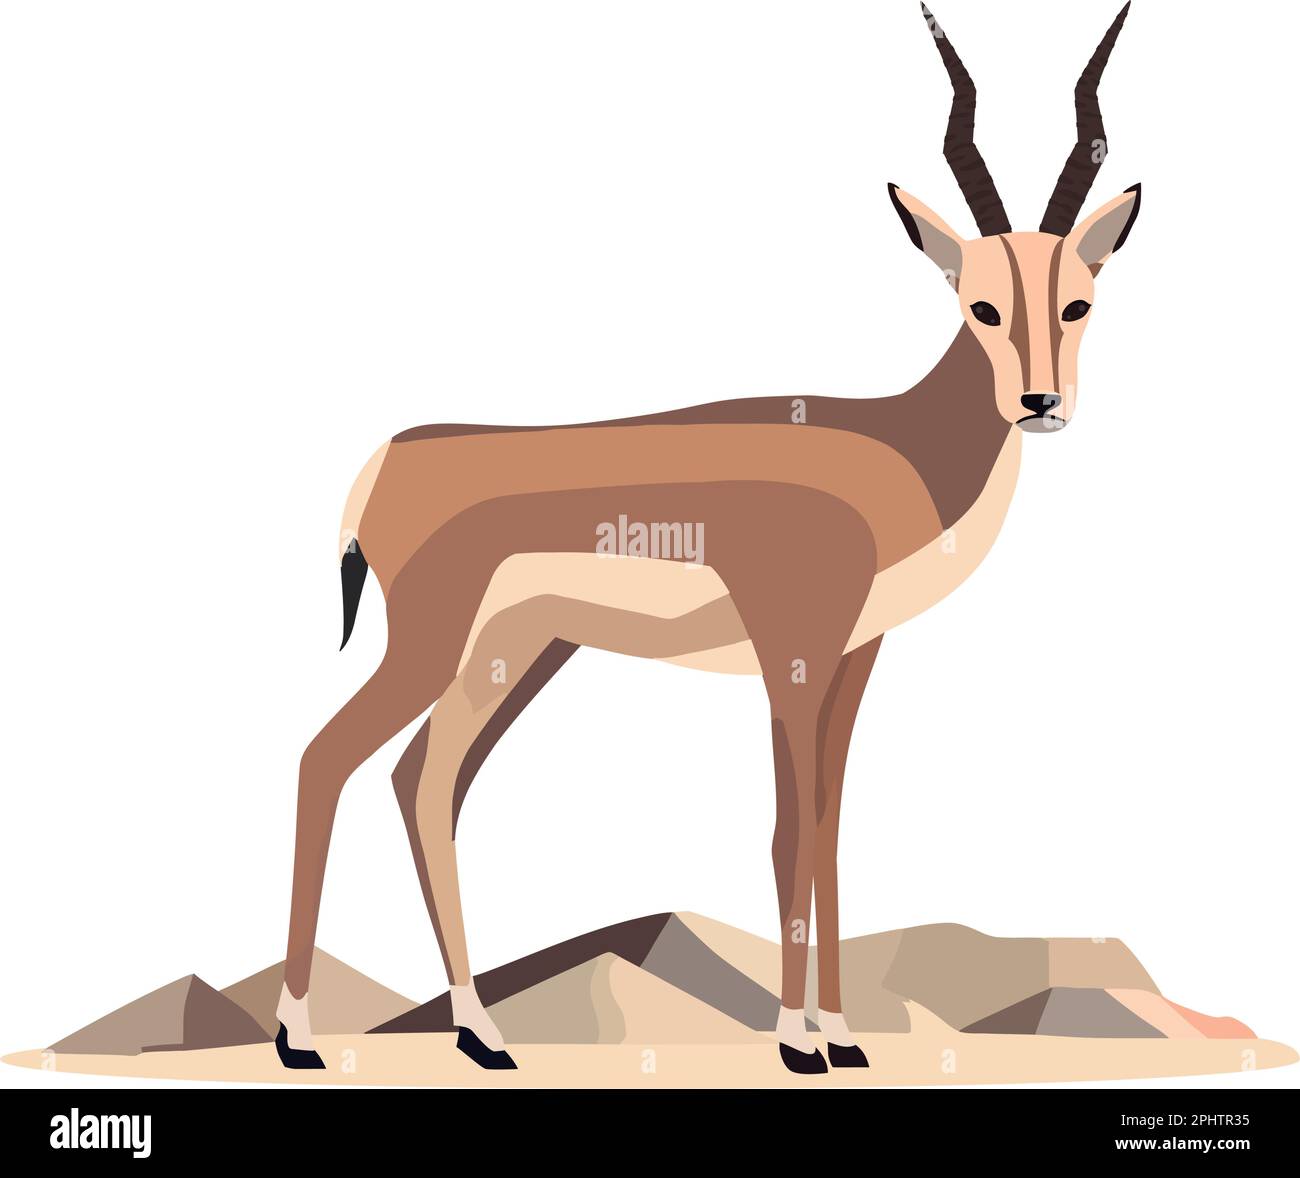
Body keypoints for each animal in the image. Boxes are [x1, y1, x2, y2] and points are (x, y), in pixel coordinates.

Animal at [275, 3, 1141, 1074]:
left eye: (1078, 301)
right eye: (978, 304)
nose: (1041, 404)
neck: (894, 450)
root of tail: (390, 458)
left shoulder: (854, 656)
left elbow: (830, 827)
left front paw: (843, 1036)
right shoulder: (792, 651)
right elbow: (786, 832)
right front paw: (795, 1043)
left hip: (511, 652)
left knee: (424, 783)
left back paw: (482, 1032)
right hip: (433, 646)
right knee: (325, 759)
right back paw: (299, 1036)